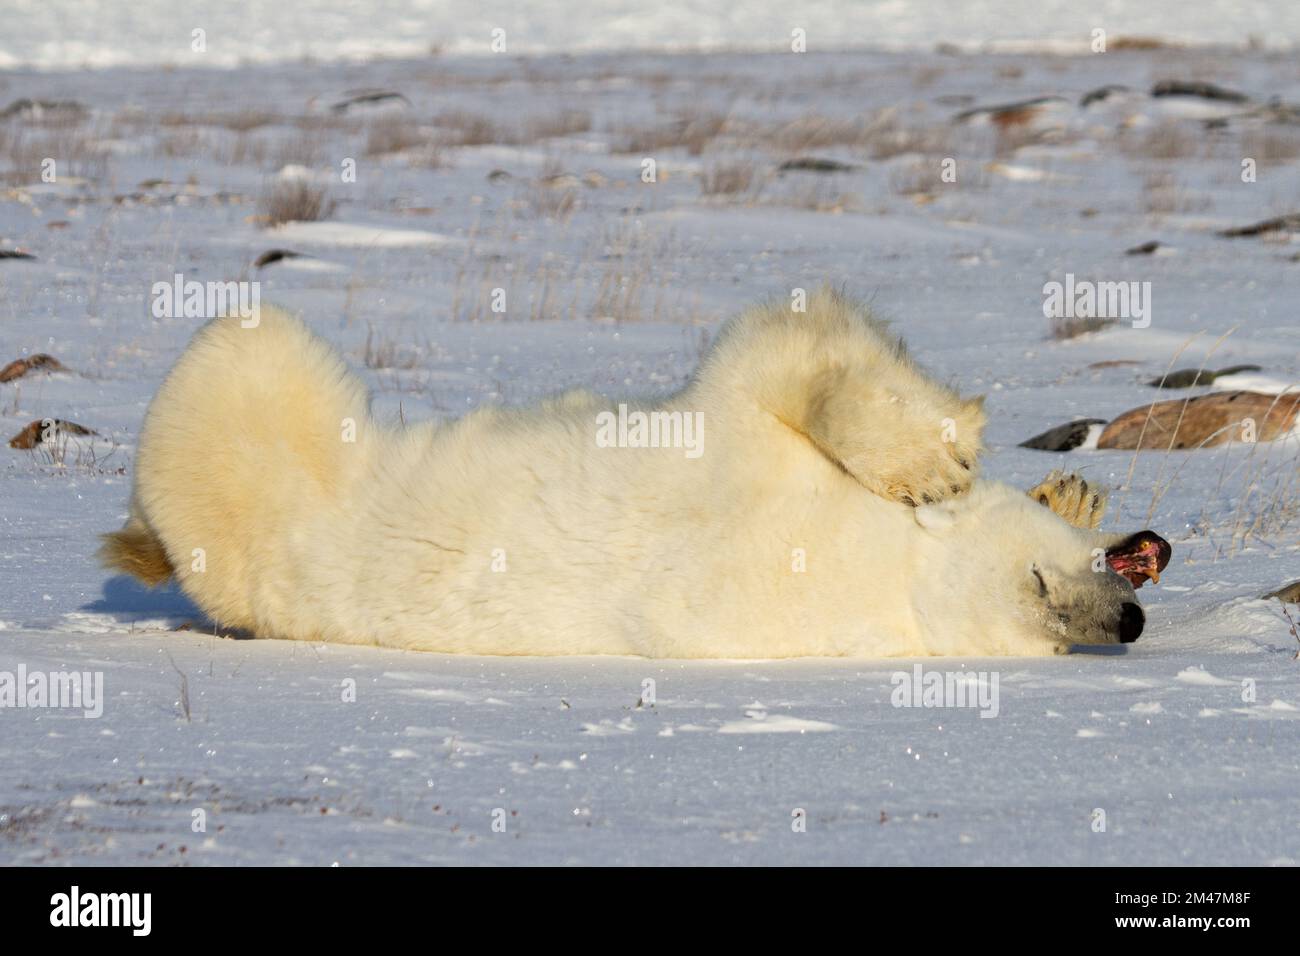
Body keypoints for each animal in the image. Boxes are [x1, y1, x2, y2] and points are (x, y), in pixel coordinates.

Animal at [100, 289, 1170, 657]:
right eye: (1040, 583)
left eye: (1056, 642)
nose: (1126, 618)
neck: (880, 578)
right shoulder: (741, 469)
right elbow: (782, 350)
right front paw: (938, 461)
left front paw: (1070, 486)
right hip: (249, 455)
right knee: (243, 344)